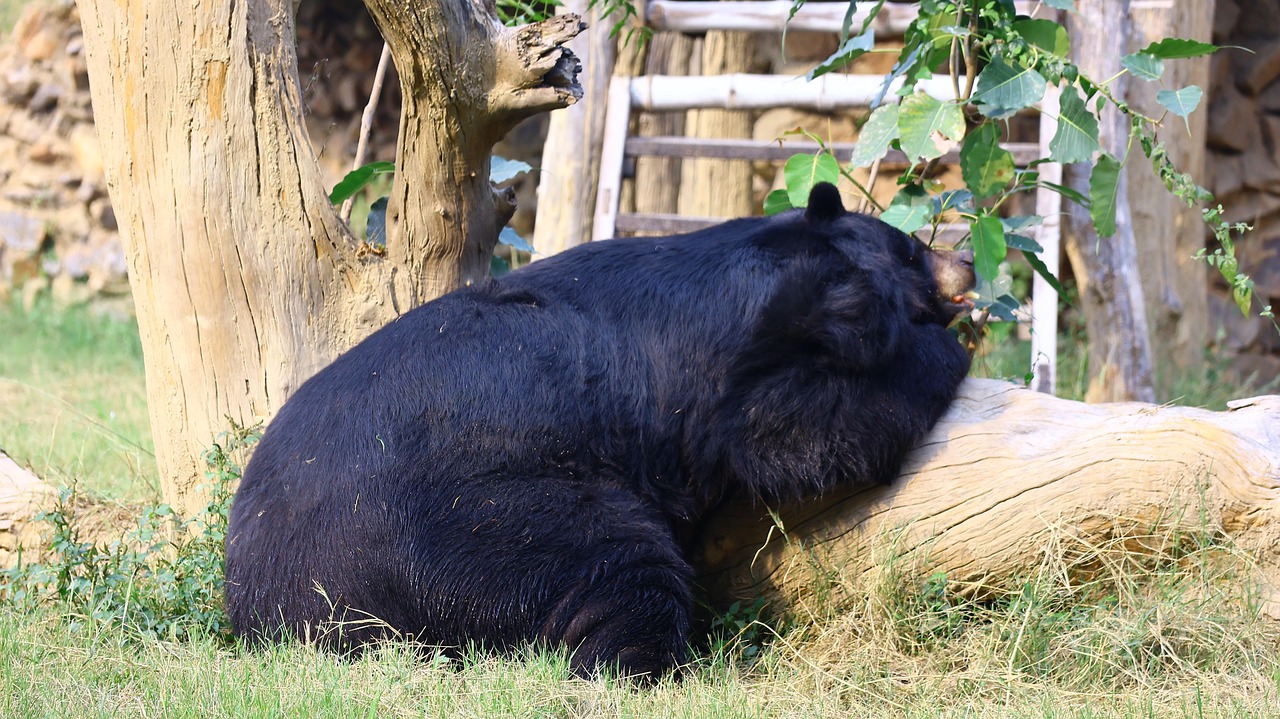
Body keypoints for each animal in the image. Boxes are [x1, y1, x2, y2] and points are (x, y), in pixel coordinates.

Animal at [224, 182, 975, 679]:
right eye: (911, 248)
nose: (966, 263)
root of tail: (266, 598)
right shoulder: (723, 379)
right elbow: (801, 430)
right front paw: (942, 348)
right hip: (476, 522)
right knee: (618, 568)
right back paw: (656, 662)